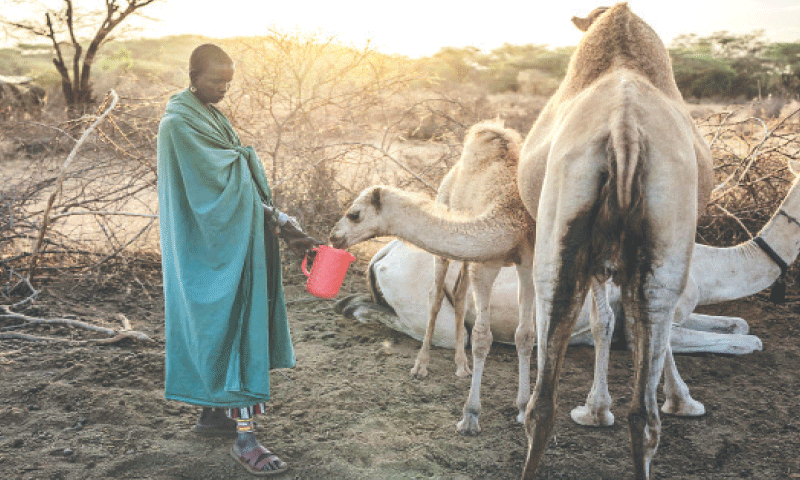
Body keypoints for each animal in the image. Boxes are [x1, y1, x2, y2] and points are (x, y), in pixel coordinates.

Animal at [329, 120, 536, 435]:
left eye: (354, 214)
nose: (333, 236)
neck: (510, 214)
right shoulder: (486, 263)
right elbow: (481, 337)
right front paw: (470, 416)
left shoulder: (528, 261)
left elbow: (524, 335)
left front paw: (524, 410)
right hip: (447, 234)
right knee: (437, 298)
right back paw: (421, 366)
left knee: (459, 295)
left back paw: (462, 367)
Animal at [516, 5, 714, 479]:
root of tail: (625, 130)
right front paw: (677, 399)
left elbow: (603, 320)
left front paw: (595, 408)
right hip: (664, 235)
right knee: (643, 411)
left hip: (560, 238)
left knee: (544, 402)